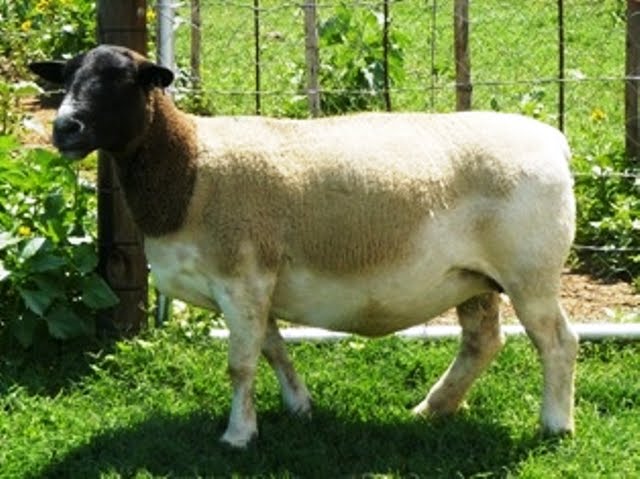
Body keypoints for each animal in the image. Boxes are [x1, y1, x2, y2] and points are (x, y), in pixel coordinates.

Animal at [30, 45, 579, 448]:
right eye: (67, 77)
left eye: (122, 81)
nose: (64, 128)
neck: (189, 171)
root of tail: (554, 141)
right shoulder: (256, 286)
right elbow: (273, 349)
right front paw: (299, 407)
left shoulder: (243, 276)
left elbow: (241, 364)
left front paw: (238, 435)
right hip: (474, 278)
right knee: (482, 341)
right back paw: (432, 408)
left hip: (530, 270)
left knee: (557, 342)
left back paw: (555, 424)